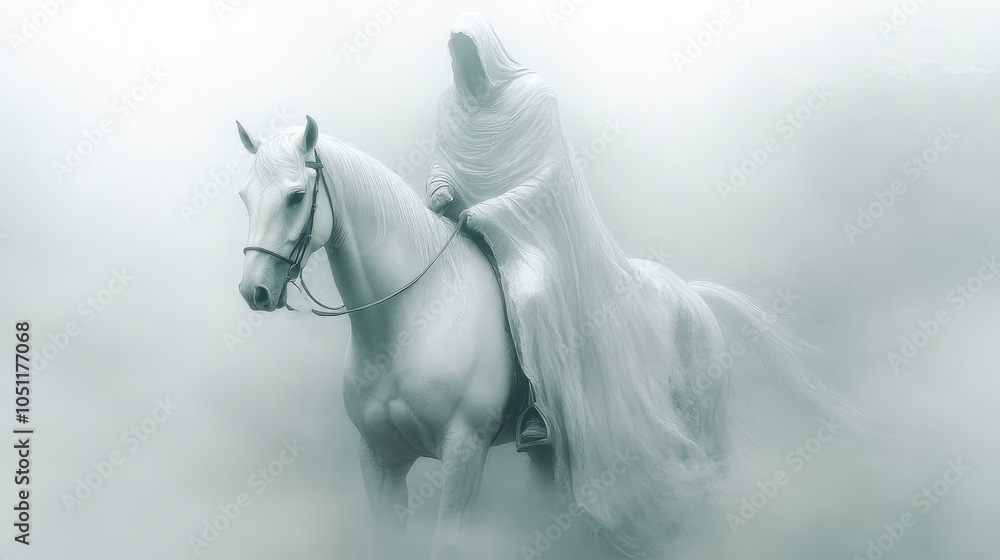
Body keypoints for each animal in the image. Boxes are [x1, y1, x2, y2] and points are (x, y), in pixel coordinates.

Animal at [235, 117, 875, 559]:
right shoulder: (380, 457)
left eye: (296, 195)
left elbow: (449, 542)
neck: (413, 321)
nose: (255, 290)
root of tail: (690, 295)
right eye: (245, 195)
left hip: (698, 430)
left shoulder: (464, 449)